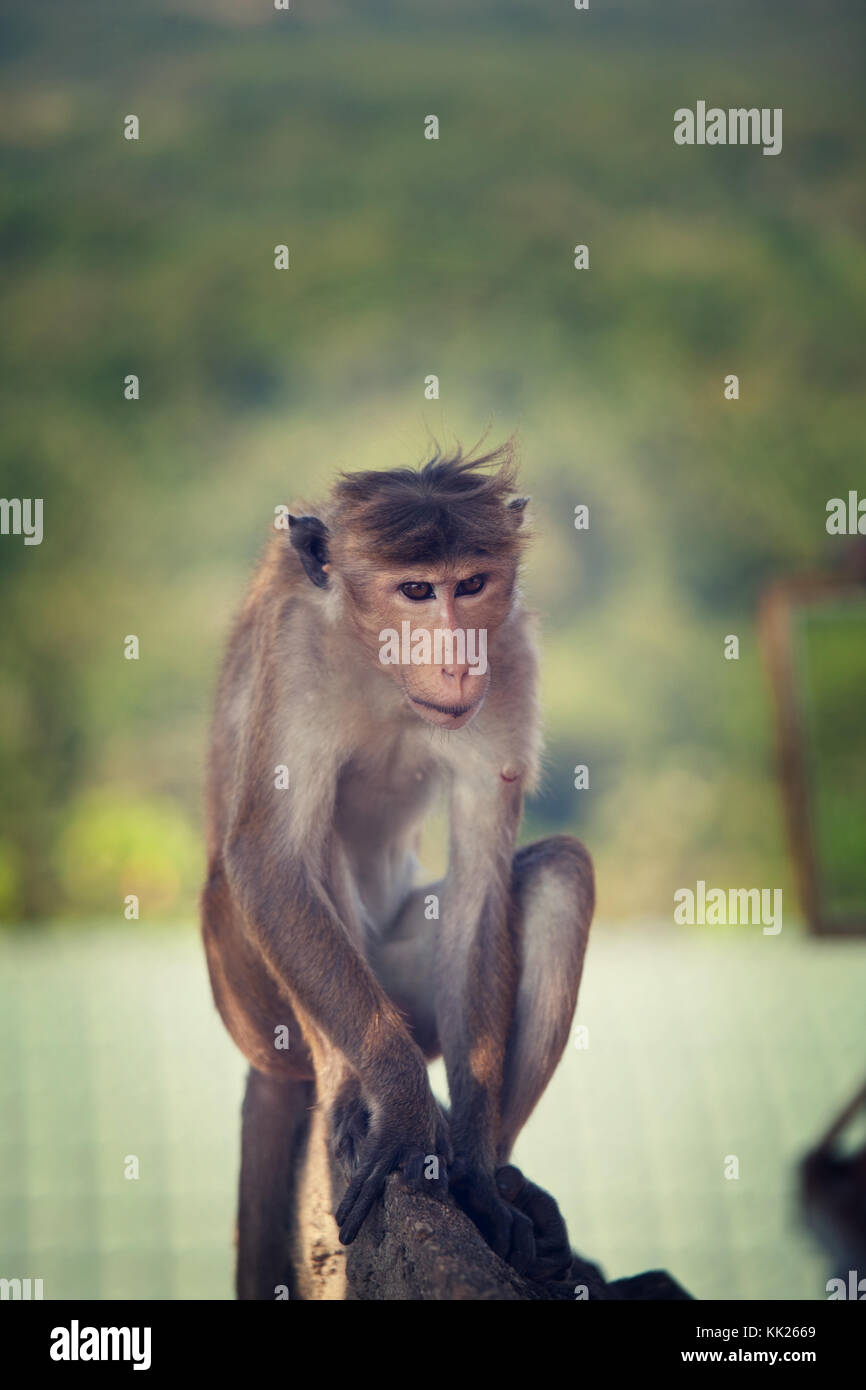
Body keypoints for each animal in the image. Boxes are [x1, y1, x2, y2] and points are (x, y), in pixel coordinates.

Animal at [200, 441, 594, 1298]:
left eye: (470, 584)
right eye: (416, 590)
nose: (455, 661)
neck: (383, 670)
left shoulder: (509, 652)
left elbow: (483, 886)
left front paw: (475, 1174)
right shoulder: (296, 649)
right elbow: (271, 858)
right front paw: (408, 1110)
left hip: (414, 994)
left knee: (559, 876)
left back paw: (503, 1178)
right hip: (250, 993)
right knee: (298, 852)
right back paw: (352, 1094)